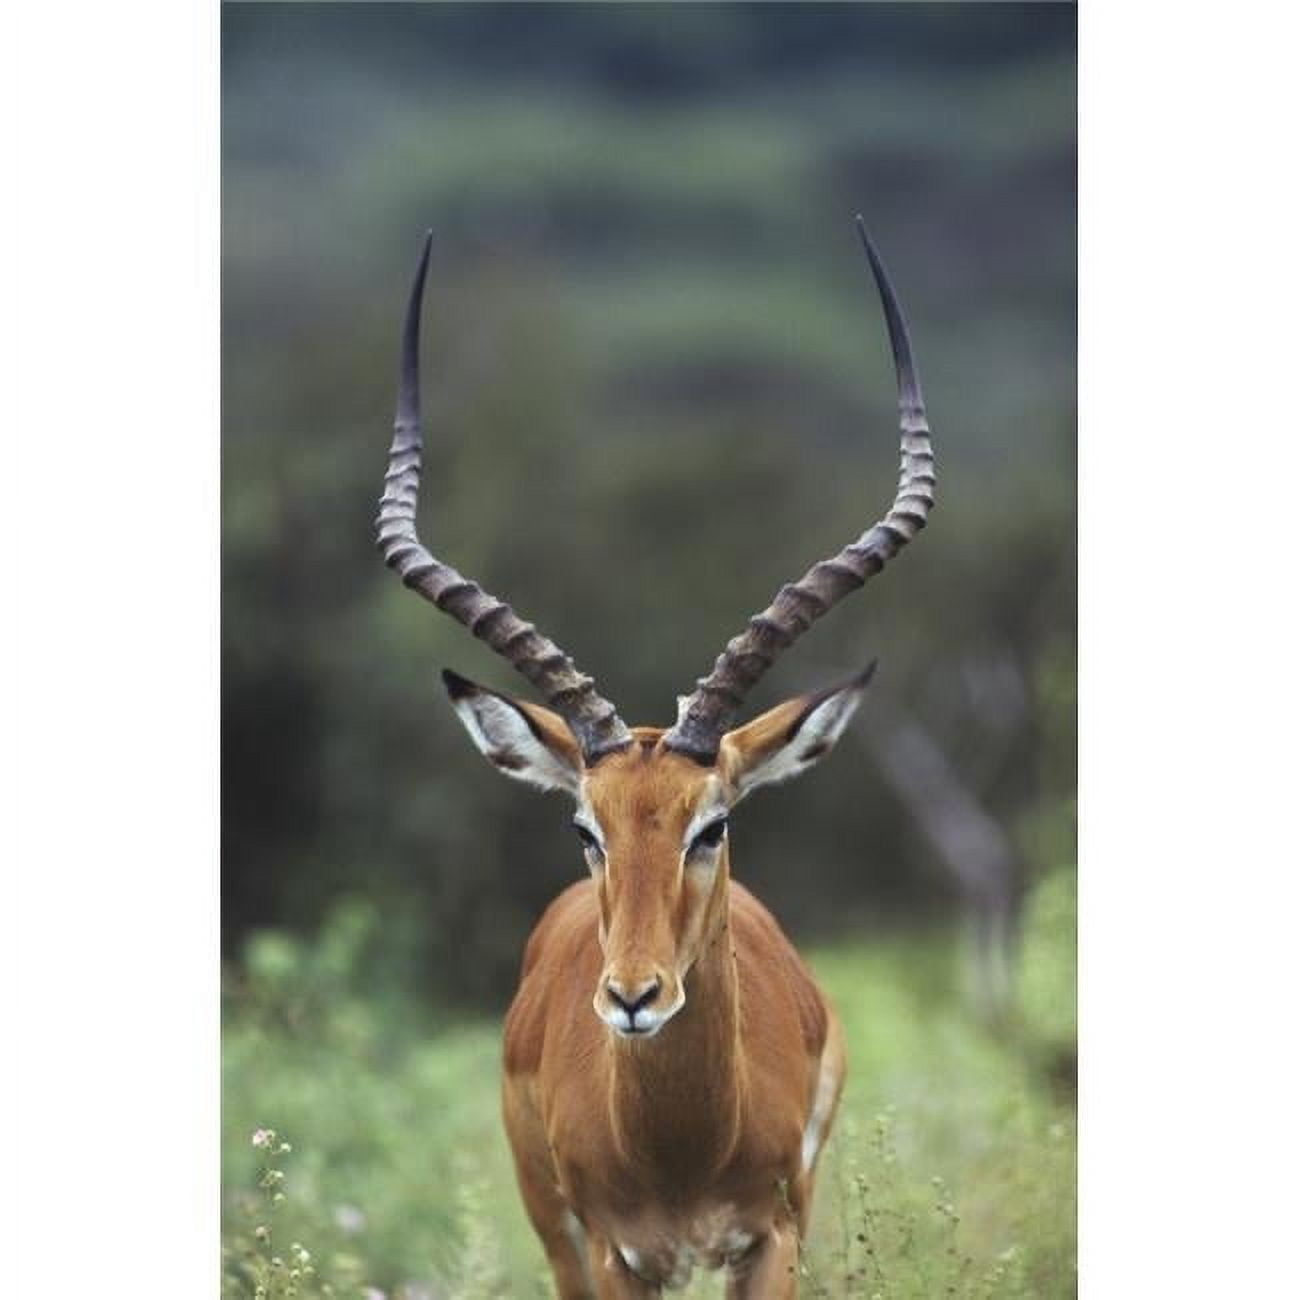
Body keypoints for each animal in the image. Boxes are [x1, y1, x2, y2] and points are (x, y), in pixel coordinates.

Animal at [376, 220, 934, 1298]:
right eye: (582, 828)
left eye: (711, 824)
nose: (634, 998)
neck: (681, 1143)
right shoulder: (611, 1252)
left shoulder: (772, 1241)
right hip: (558, 1238)